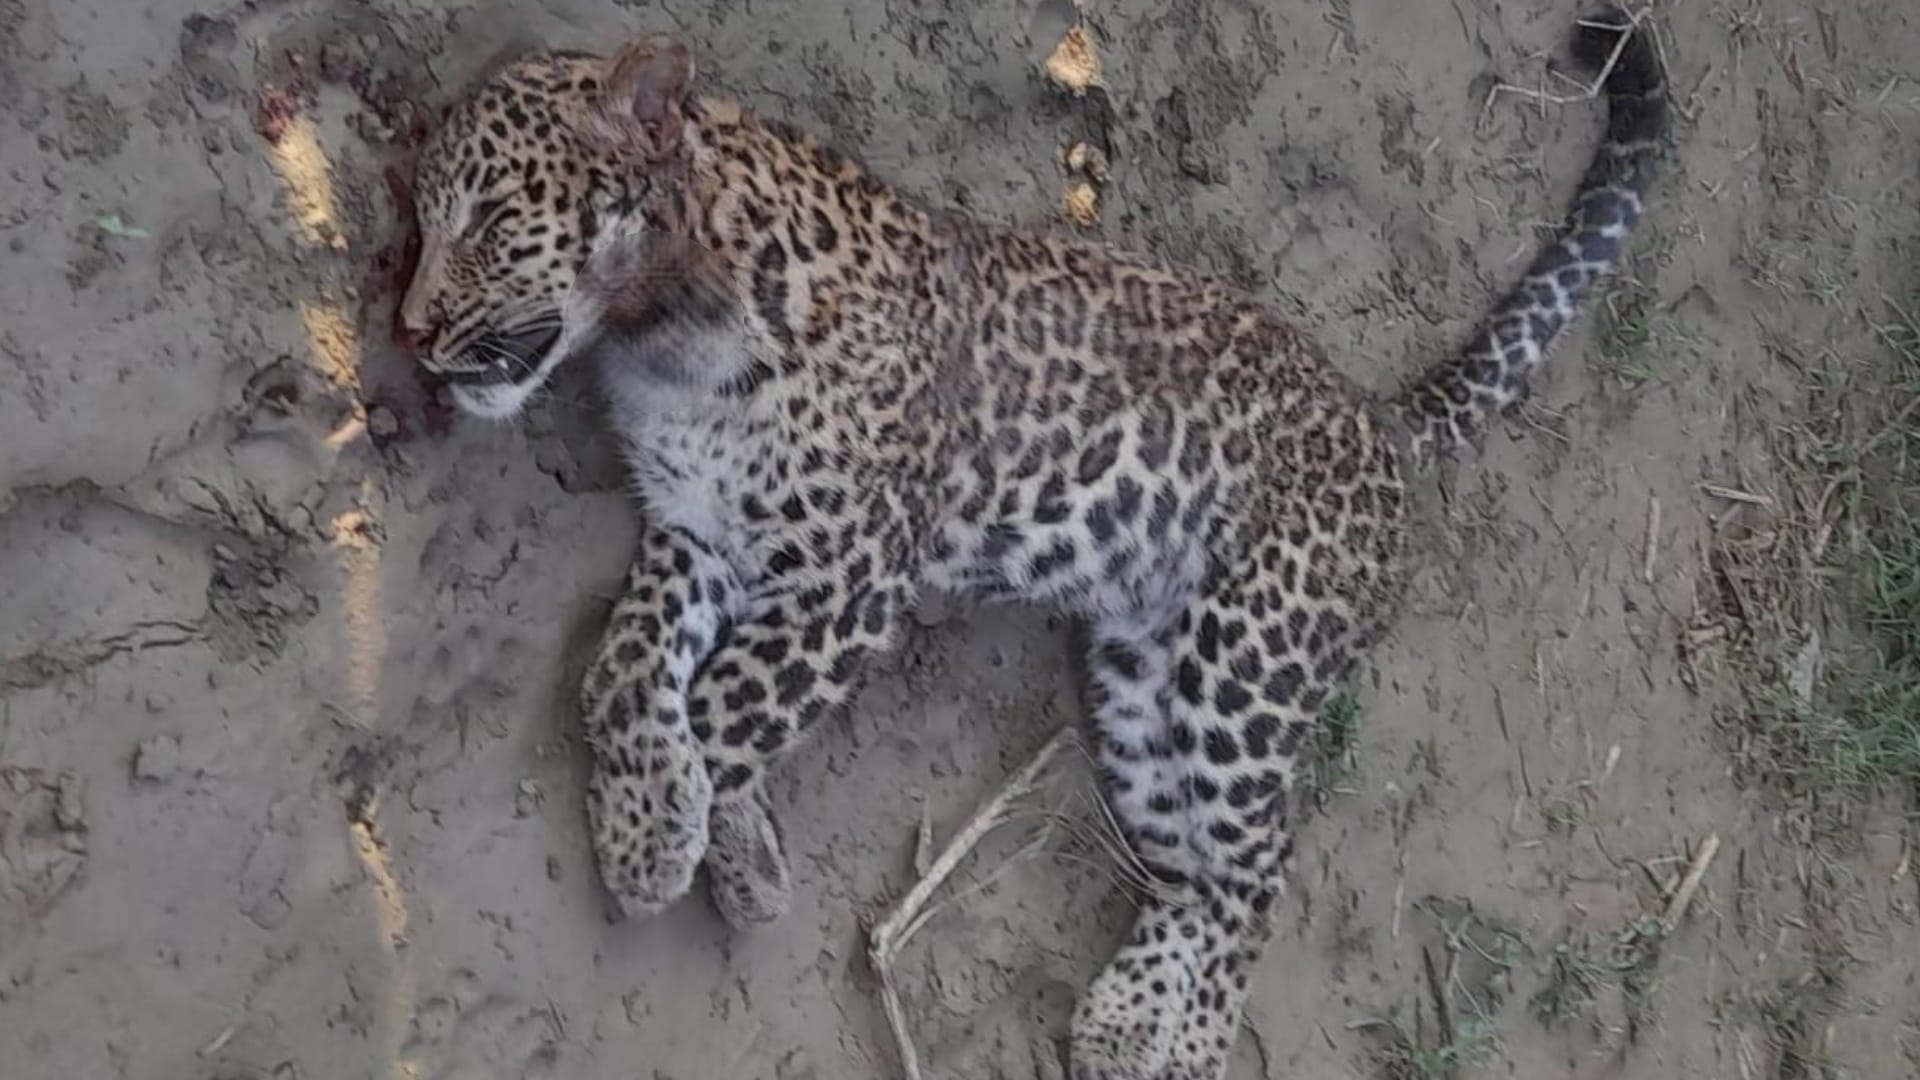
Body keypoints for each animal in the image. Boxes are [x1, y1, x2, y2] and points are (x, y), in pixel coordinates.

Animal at [397, 11, 1668, 1078]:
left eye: (490, 221)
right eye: (423, 219)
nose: (408, 329)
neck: (663, 327)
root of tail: (1383, 423)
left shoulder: (851, 578)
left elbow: (722, 710)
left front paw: (684, 843)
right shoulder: (699, 531)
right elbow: (625, 671)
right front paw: (688, 834)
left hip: (1246, 667)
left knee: (1261, 872)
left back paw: (1190, 1048)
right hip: (1143, 684)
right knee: (1198, 871)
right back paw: (1118, 1025)